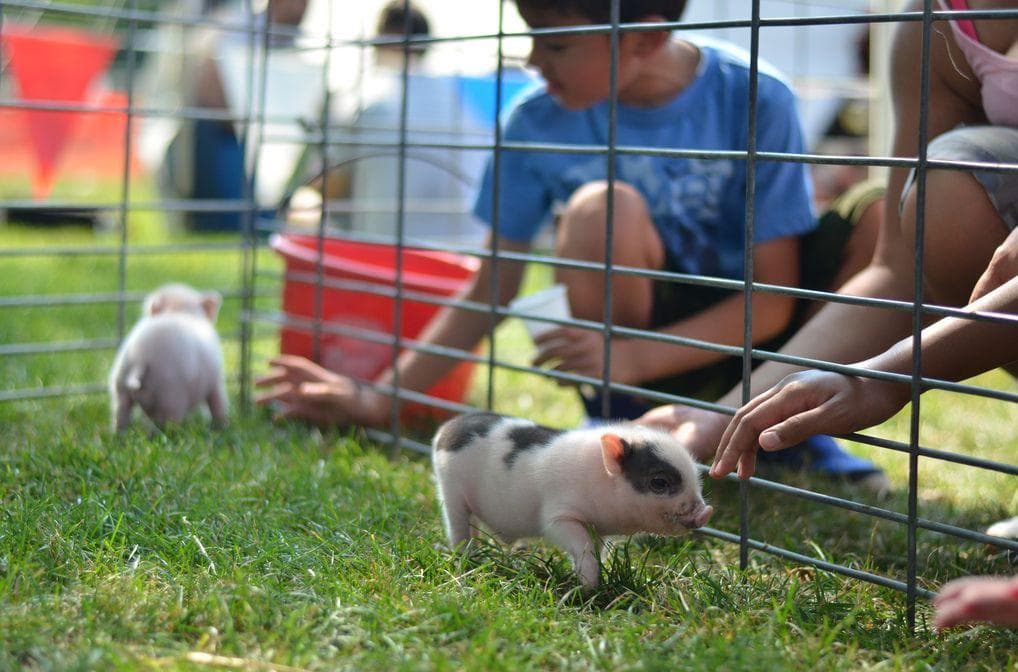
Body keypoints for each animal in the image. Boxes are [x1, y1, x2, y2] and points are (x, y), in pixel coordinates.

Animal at [109, 283, 228, 432]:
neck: (180, 310)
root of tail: (140, 358)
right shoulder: (216, 380)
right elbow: (218, 403)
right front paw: (221, 426)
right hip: (171, 395)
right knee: (166, 423)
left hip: (120, 386)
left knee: (121, 414)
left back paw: (120, 434)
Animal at [431, 412, 713, 588]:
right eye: (659, 482)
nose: (705, 511)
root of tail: (446, 429)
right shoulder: (559, 516)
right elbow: (581, 545)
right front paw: (588, 588)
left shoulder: (598, 528)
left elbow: (597, 549)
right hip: (450, 490)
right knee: (458, 527)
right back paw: (466, 559)